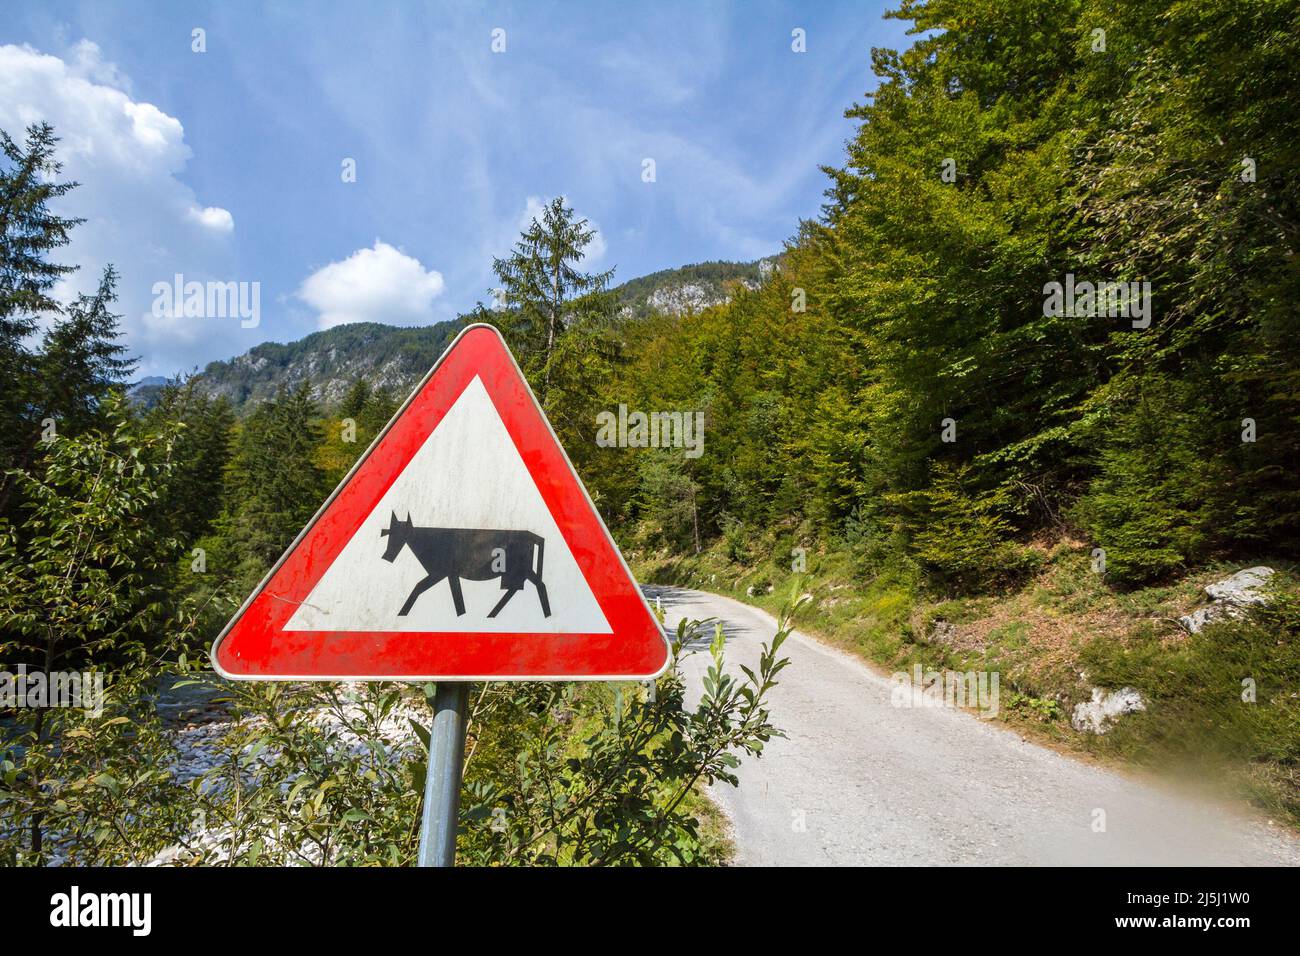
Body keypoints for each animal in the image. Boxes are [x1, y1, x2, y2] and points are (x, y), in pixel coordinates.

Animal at [379, 512, 551, 619]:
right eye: (389, 534)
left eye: (400, 536)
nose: (386, 557)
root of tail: (533, 536)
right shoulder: (449, 575)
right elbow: (456, 596)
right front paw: (461, 613)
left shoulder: (440, 573)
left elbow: (418, 587)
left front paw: (403, 611)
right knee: (518, 589)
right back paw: (492, 613)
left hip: (521, 569)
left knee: (538, 585)